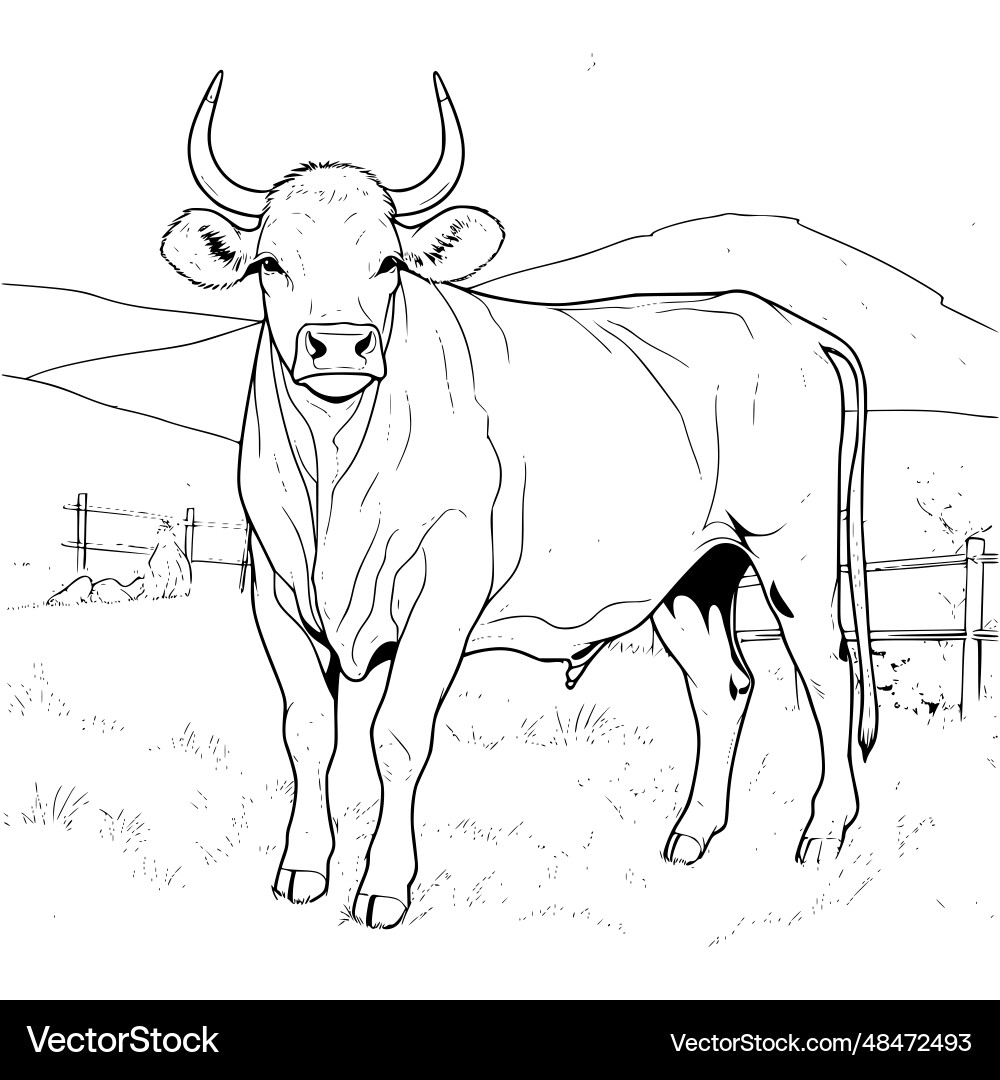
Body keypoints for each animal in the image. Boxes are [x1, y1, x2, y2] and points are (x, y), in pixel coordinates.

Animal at [161, 71, 879, 929]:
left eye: (388, 263)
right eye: (271, 262)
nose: (337, 345)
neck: (337, 475)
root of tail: (785, 324)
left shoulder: (445, 587)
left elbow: (399, 736)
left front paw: (383, 887)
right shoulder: (277, 590)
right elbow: (307, 731)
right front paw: (303, 871)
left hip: (792, 550)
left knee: (828, 675)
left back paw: (824, 832)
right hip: (692, 575)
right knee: (723, 686)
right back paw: (692, 834)